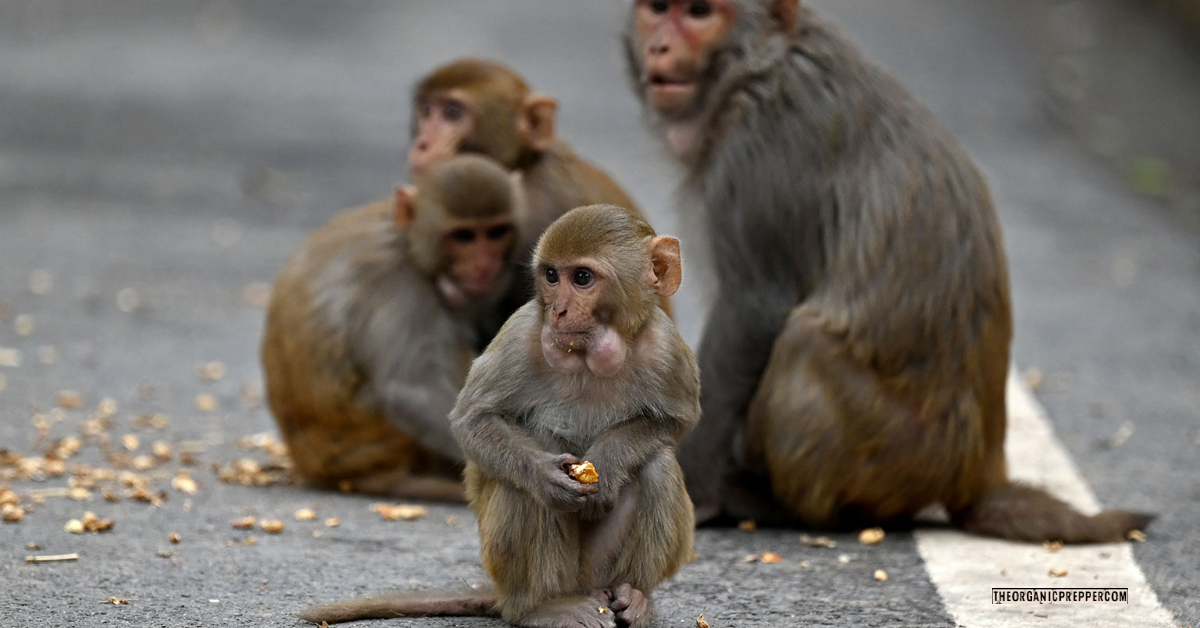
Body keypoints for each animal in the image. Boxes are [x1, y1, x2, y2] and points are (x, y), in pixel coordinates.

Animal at [260, 154, 517, 500]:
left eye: (496, 232)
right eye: (464, 236)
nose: (484, 264)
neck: (407, 240)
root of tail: (312, 465)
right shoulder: (401, 284)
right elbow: (409, 388)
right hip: (371, 439)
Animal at [300, 205, 699, 628]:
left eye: (582, 278)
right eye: (551, 275)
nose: (557, 311)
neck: (588, 355)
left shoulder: (666, 348)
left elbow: (675, 421)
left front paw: (608, 461)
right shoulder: (520, 337)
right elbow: (471, 421)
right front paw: (544, 476)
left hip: (594, 569)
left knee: (655, 465)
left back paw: (632, 595)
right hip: (522, 572)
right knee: (525, 474)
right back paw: (546, 605)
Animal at [622, 0, 1153, 542]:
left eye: (699, 13)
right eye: (658, 10)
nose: (659, 46)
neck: (758, 70)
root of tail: (977, 473)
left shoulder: (761, 153)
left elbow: (754, 309)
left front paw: (694, 486)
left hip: (895, 454)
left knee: (805, 340)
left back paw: (778, 505)